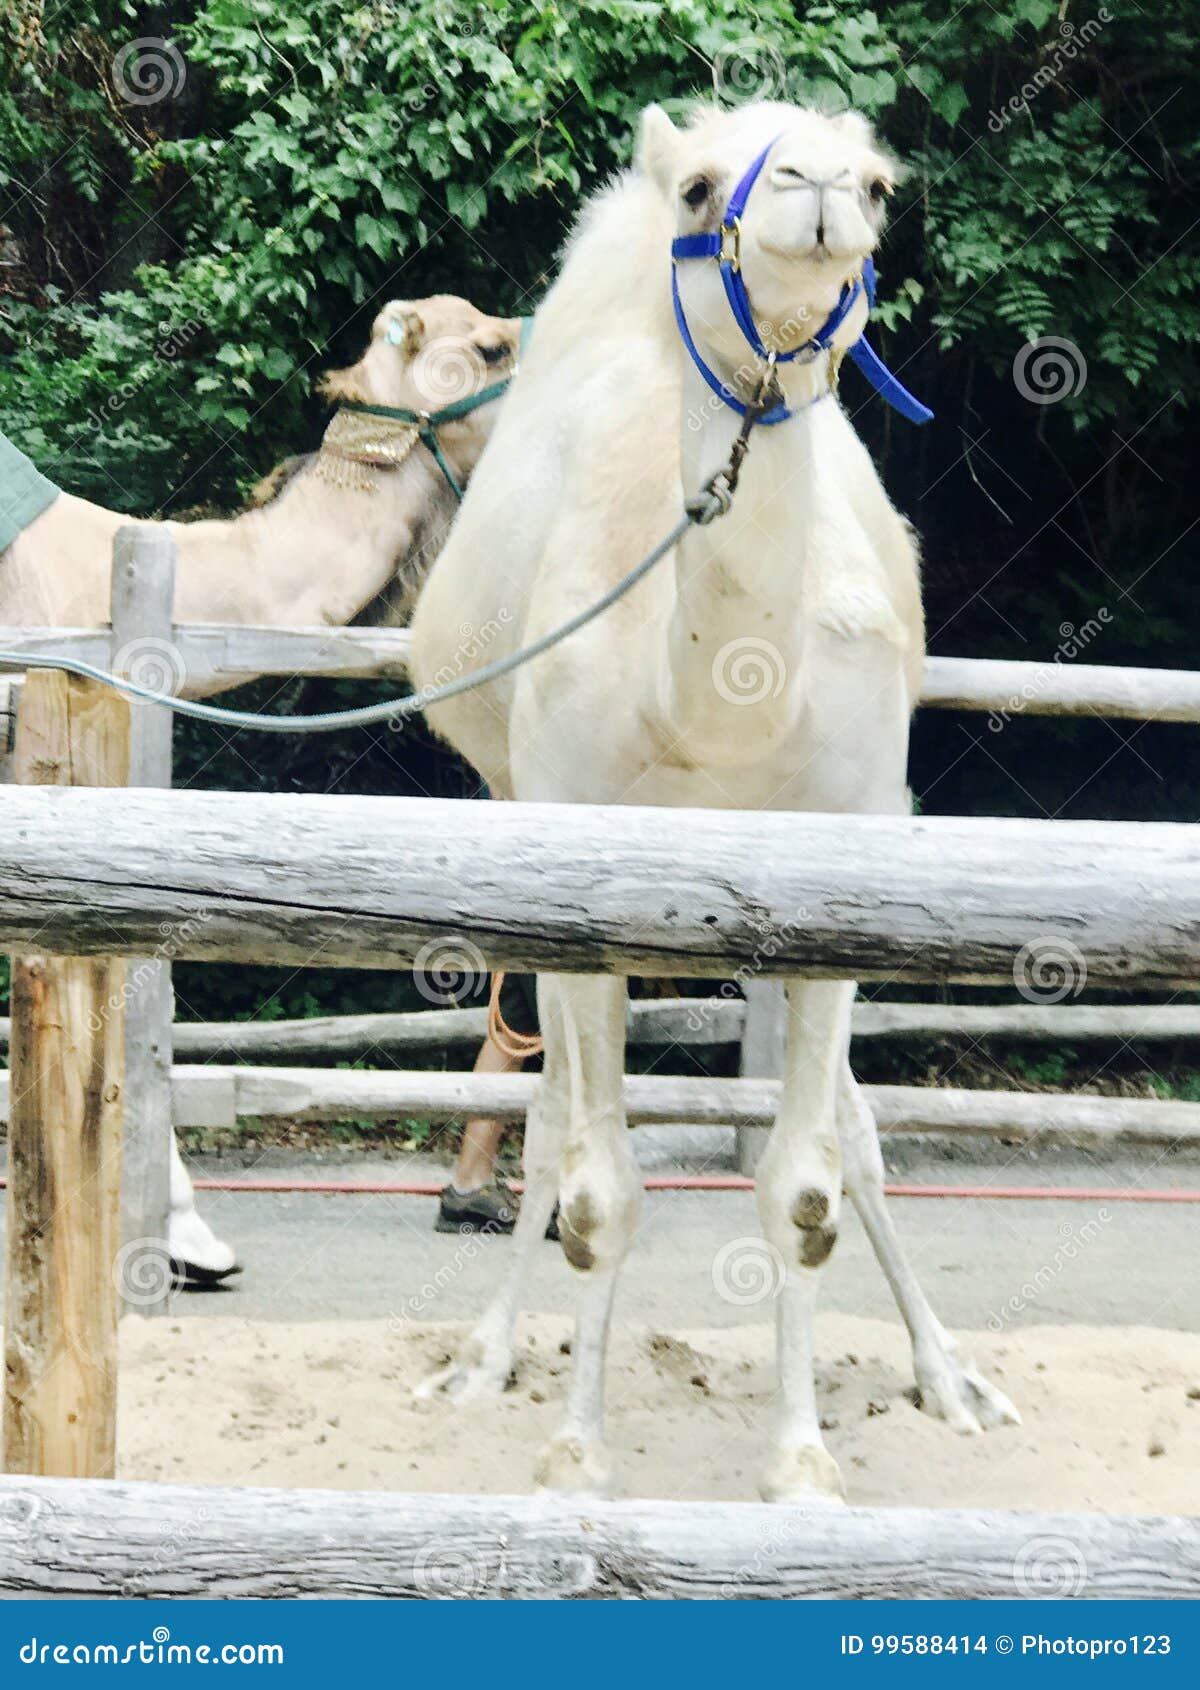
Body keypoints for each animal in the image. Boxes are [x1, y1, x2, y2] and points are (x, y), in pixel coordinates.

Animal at [409, 102, 1018, 1503]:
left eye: (879, 184)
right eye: (698, 187)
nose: (816, 189)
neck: (718, 699)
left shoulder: (844, 854)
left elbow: (806, 1187)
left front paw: (802, 1464)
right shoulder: (574, 861)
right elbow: (596, 1185)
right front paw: (577, 1453)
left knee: (849, 1125)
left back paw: (951, 1375)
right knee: (551, 1111)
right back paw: (485, 1359)